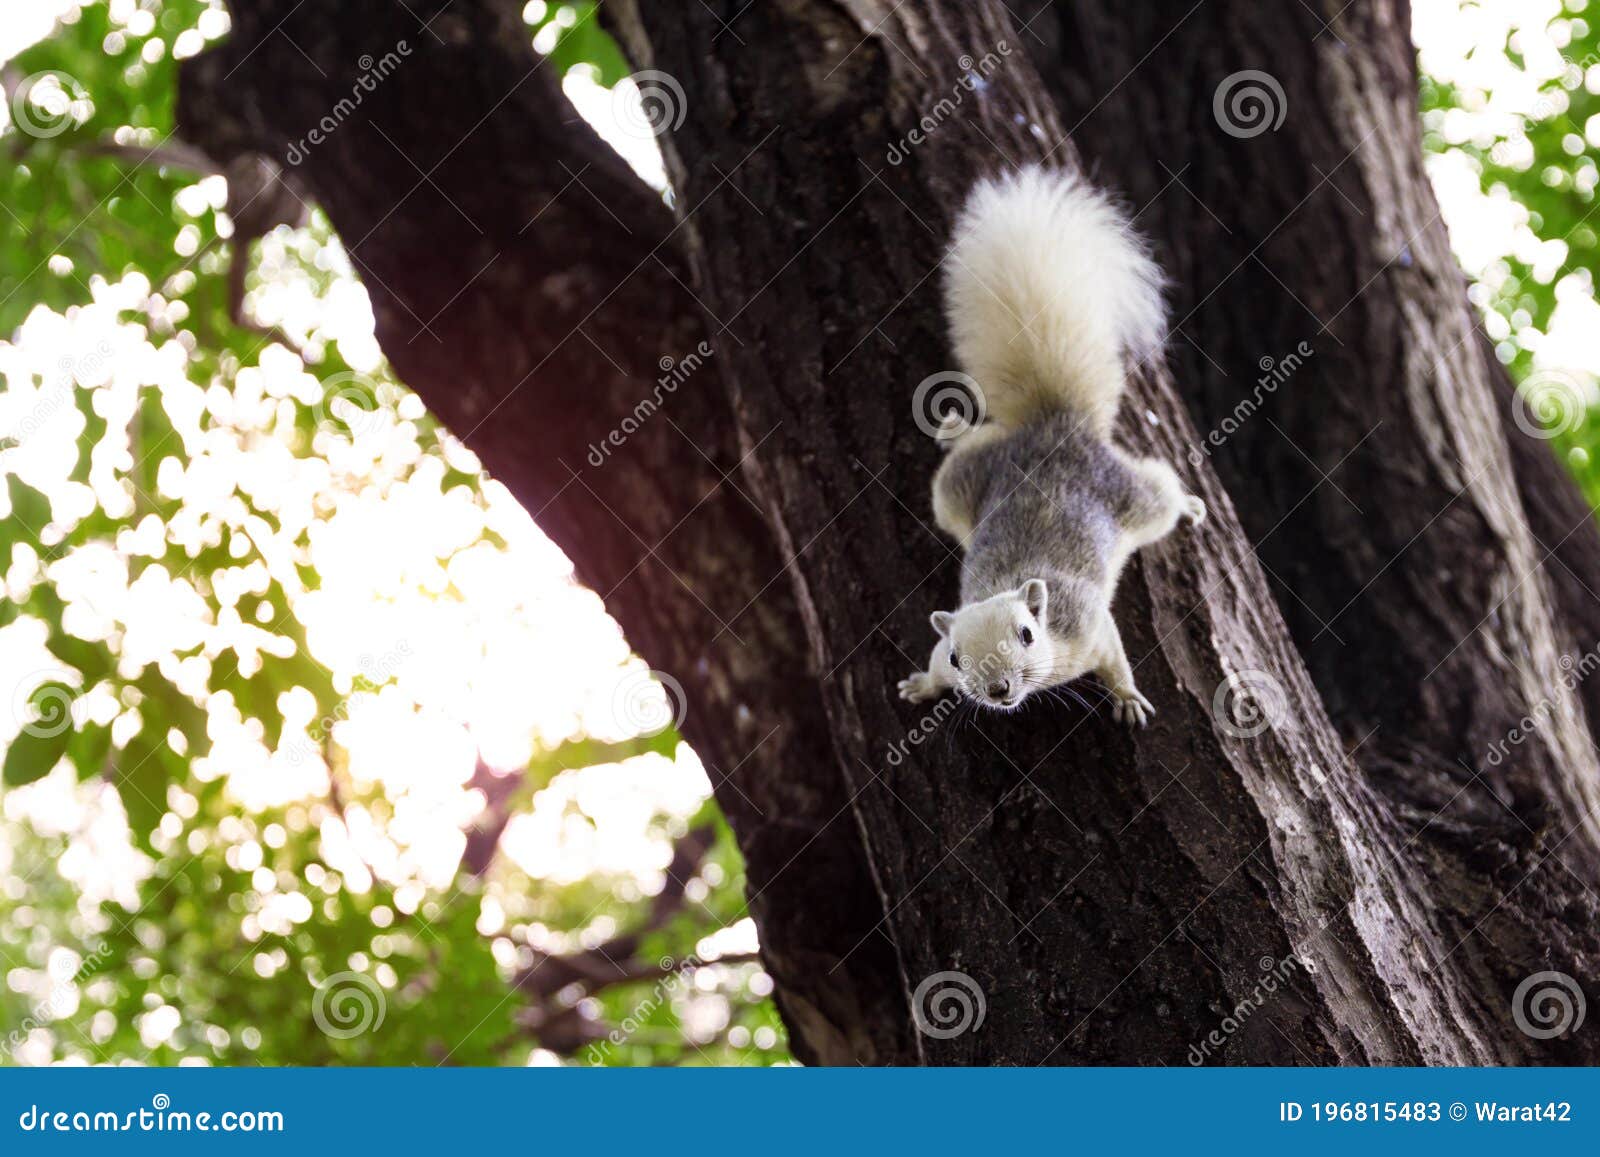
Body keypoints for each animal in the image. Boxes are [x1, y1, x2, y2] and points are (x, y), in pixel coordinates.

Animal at [897, 166, 1205, 726]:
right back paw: (953, 428)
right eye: (956, 658)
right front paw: (922, 686)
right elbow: (930, 666)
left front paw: (1127, 697)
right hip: (954, 491)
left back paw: (1190, 504)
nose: (997, 689)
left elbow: (1115, 655)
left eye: (1027, 634)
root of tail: (1054, 426)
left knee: (1160, 489)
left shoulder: (1087, 625)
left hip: (1134, 499)